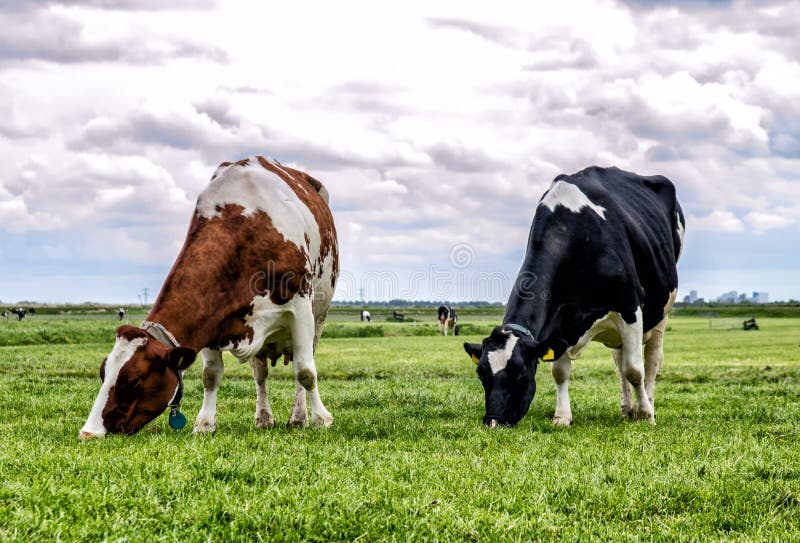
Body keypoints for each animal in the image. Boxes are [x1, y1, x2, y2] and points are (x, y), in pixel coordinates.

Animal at [80, 155, 338, 438]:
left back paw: (298, 418)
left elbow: (305, 371)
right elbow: (211, 374)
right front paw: (204, 424)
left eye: (133, 380)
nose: (88, 432)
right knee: (260, 374)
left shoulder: (300, 308)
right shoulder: (210, 318)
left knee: (301, 365)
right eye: (103, 373)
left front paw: (321, 419)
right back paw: (263, 418)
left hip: (318, 317)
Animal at [464, 166, 684, 428]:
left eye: (521, 373)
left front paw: (646, 415)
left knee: (651, 360)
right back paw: (627, 409)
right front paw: (562, 416)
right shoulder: (560, 320)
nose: (494, 421)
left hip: (662, 312)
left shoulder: (629, 306)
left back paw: (647, 405)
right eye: (481, 374)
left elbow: (634, 369)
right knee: (619, 362)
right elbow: (560, 371)